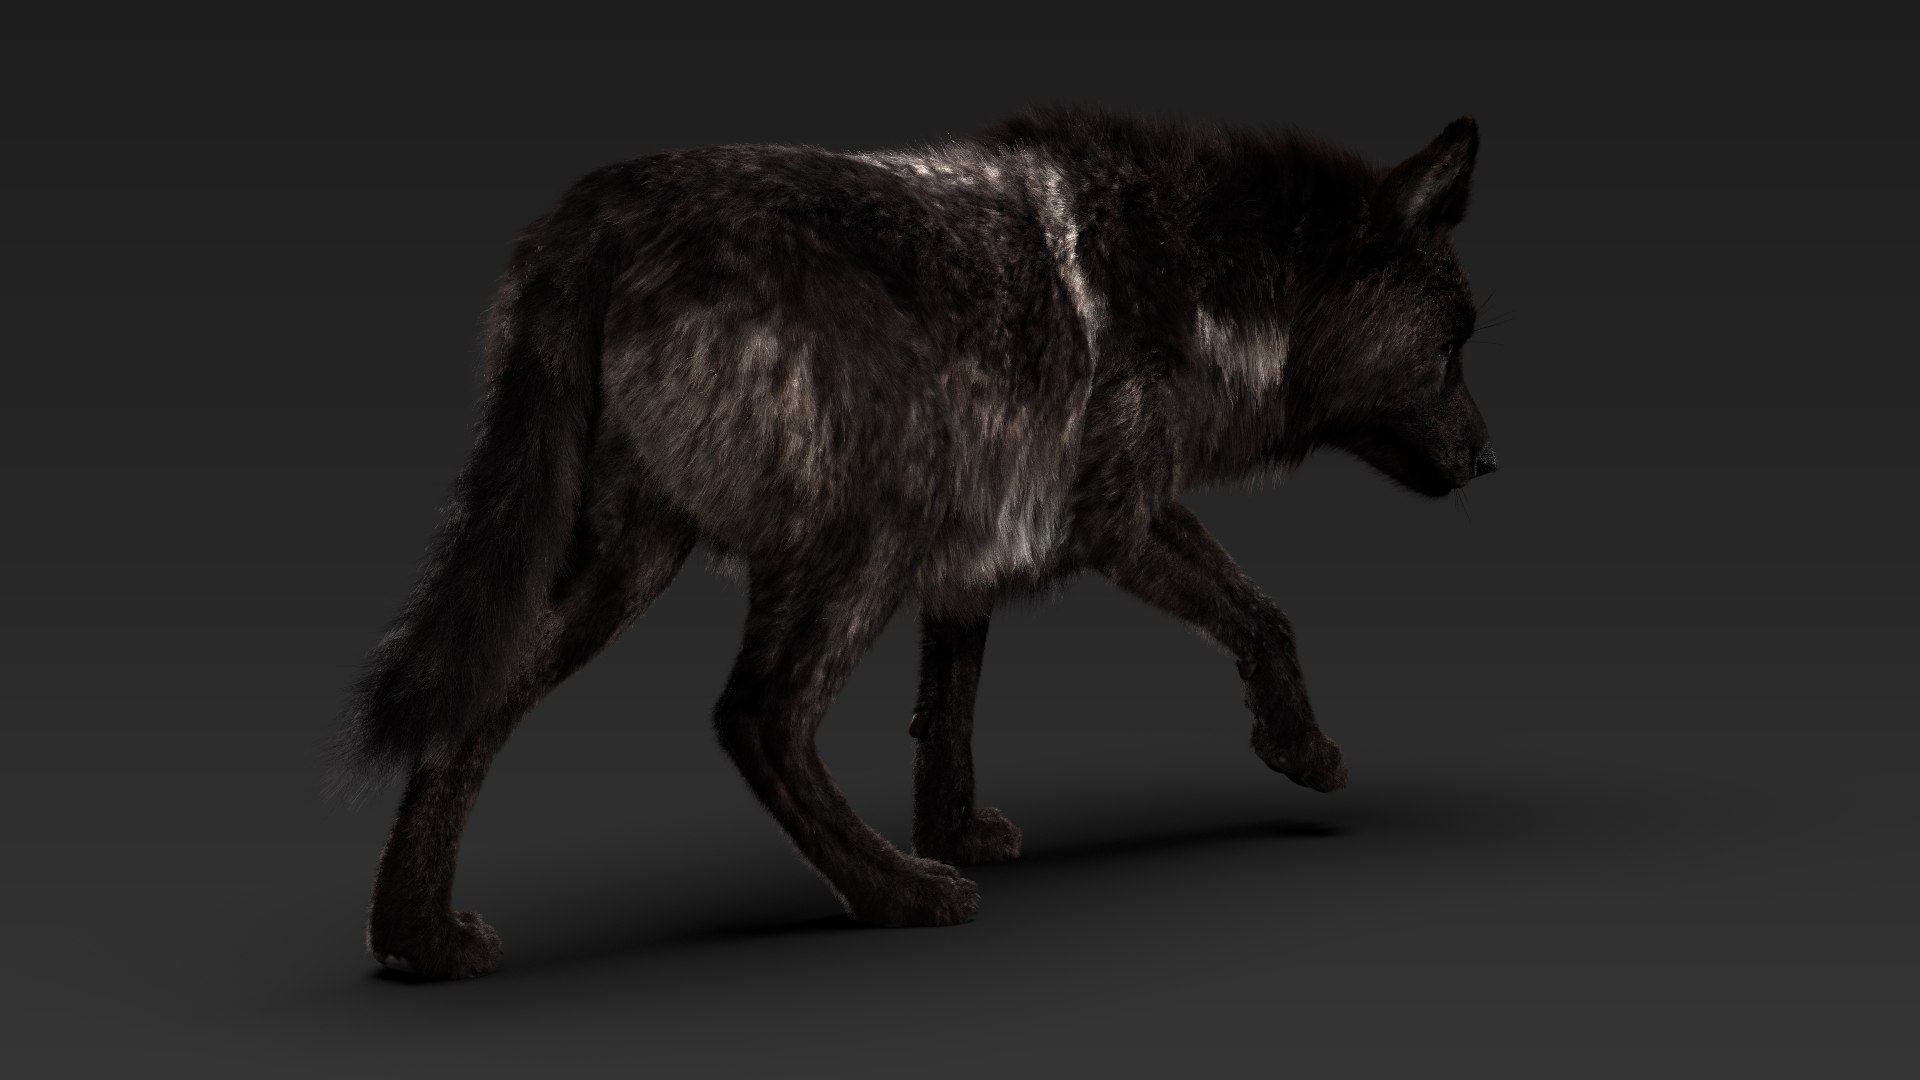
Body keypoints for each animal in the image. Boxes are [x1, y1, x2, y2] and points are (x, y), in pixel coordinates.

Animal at [329, 106, 1498, 978]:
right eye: (1454, 348)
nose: (1494, 461)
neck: (1218, 270)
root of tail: (597, 211)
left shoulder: (972, 558)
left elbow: (948, 718)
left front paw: (954, 828)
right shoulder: (1118, 515)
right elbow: (1264, 615)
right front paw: (1301, 753)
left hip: (624, 566)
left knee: (477, 701)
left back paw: (417, 939)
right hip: (859, 541)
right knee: (756, 715)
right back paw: (895, 893)